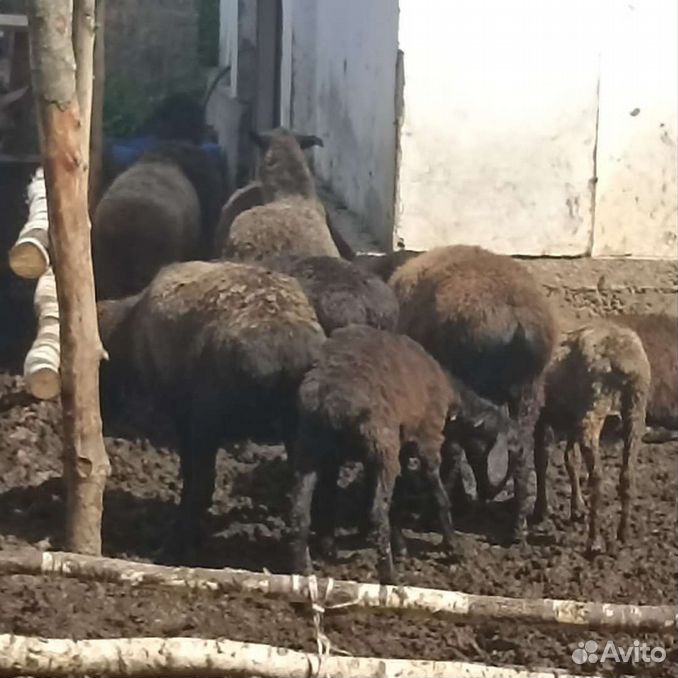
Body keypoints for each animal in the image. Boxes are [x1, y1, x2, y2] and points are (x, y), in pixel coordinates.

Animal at [97, 260, 325, 557]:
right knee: (303, 497)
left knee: (205, 484)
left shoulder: (186, 414)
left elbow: (191, 471)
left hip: (210, 418)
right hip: (299, 428)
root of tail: (288, 354)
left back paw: (173, 548)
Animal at [288, 324, 510, 585]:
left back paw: (304, 571)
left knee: (300, 511)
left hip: (310, 448)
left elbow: (398, 497)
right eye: (489, 440)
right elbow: (438, 496)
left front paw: (402, 546)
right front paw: (453, 546)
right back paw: (390, 576)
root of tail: (331, 403)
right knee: (376, 513)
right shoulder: (428, 439)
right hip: (382, 447)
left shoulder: (401, 448)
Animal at [532, 320, 650, 556]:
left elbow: (541, 459)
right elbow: (571, 460)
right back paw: (623, 534)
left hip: (594, 406)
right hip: (636, 407)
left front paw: (541, 510)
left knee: (597, 476)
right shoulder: (570, 421)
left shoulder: (542, 417)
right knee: (627, 473)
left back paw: (594, 541)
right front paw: (576, 508)